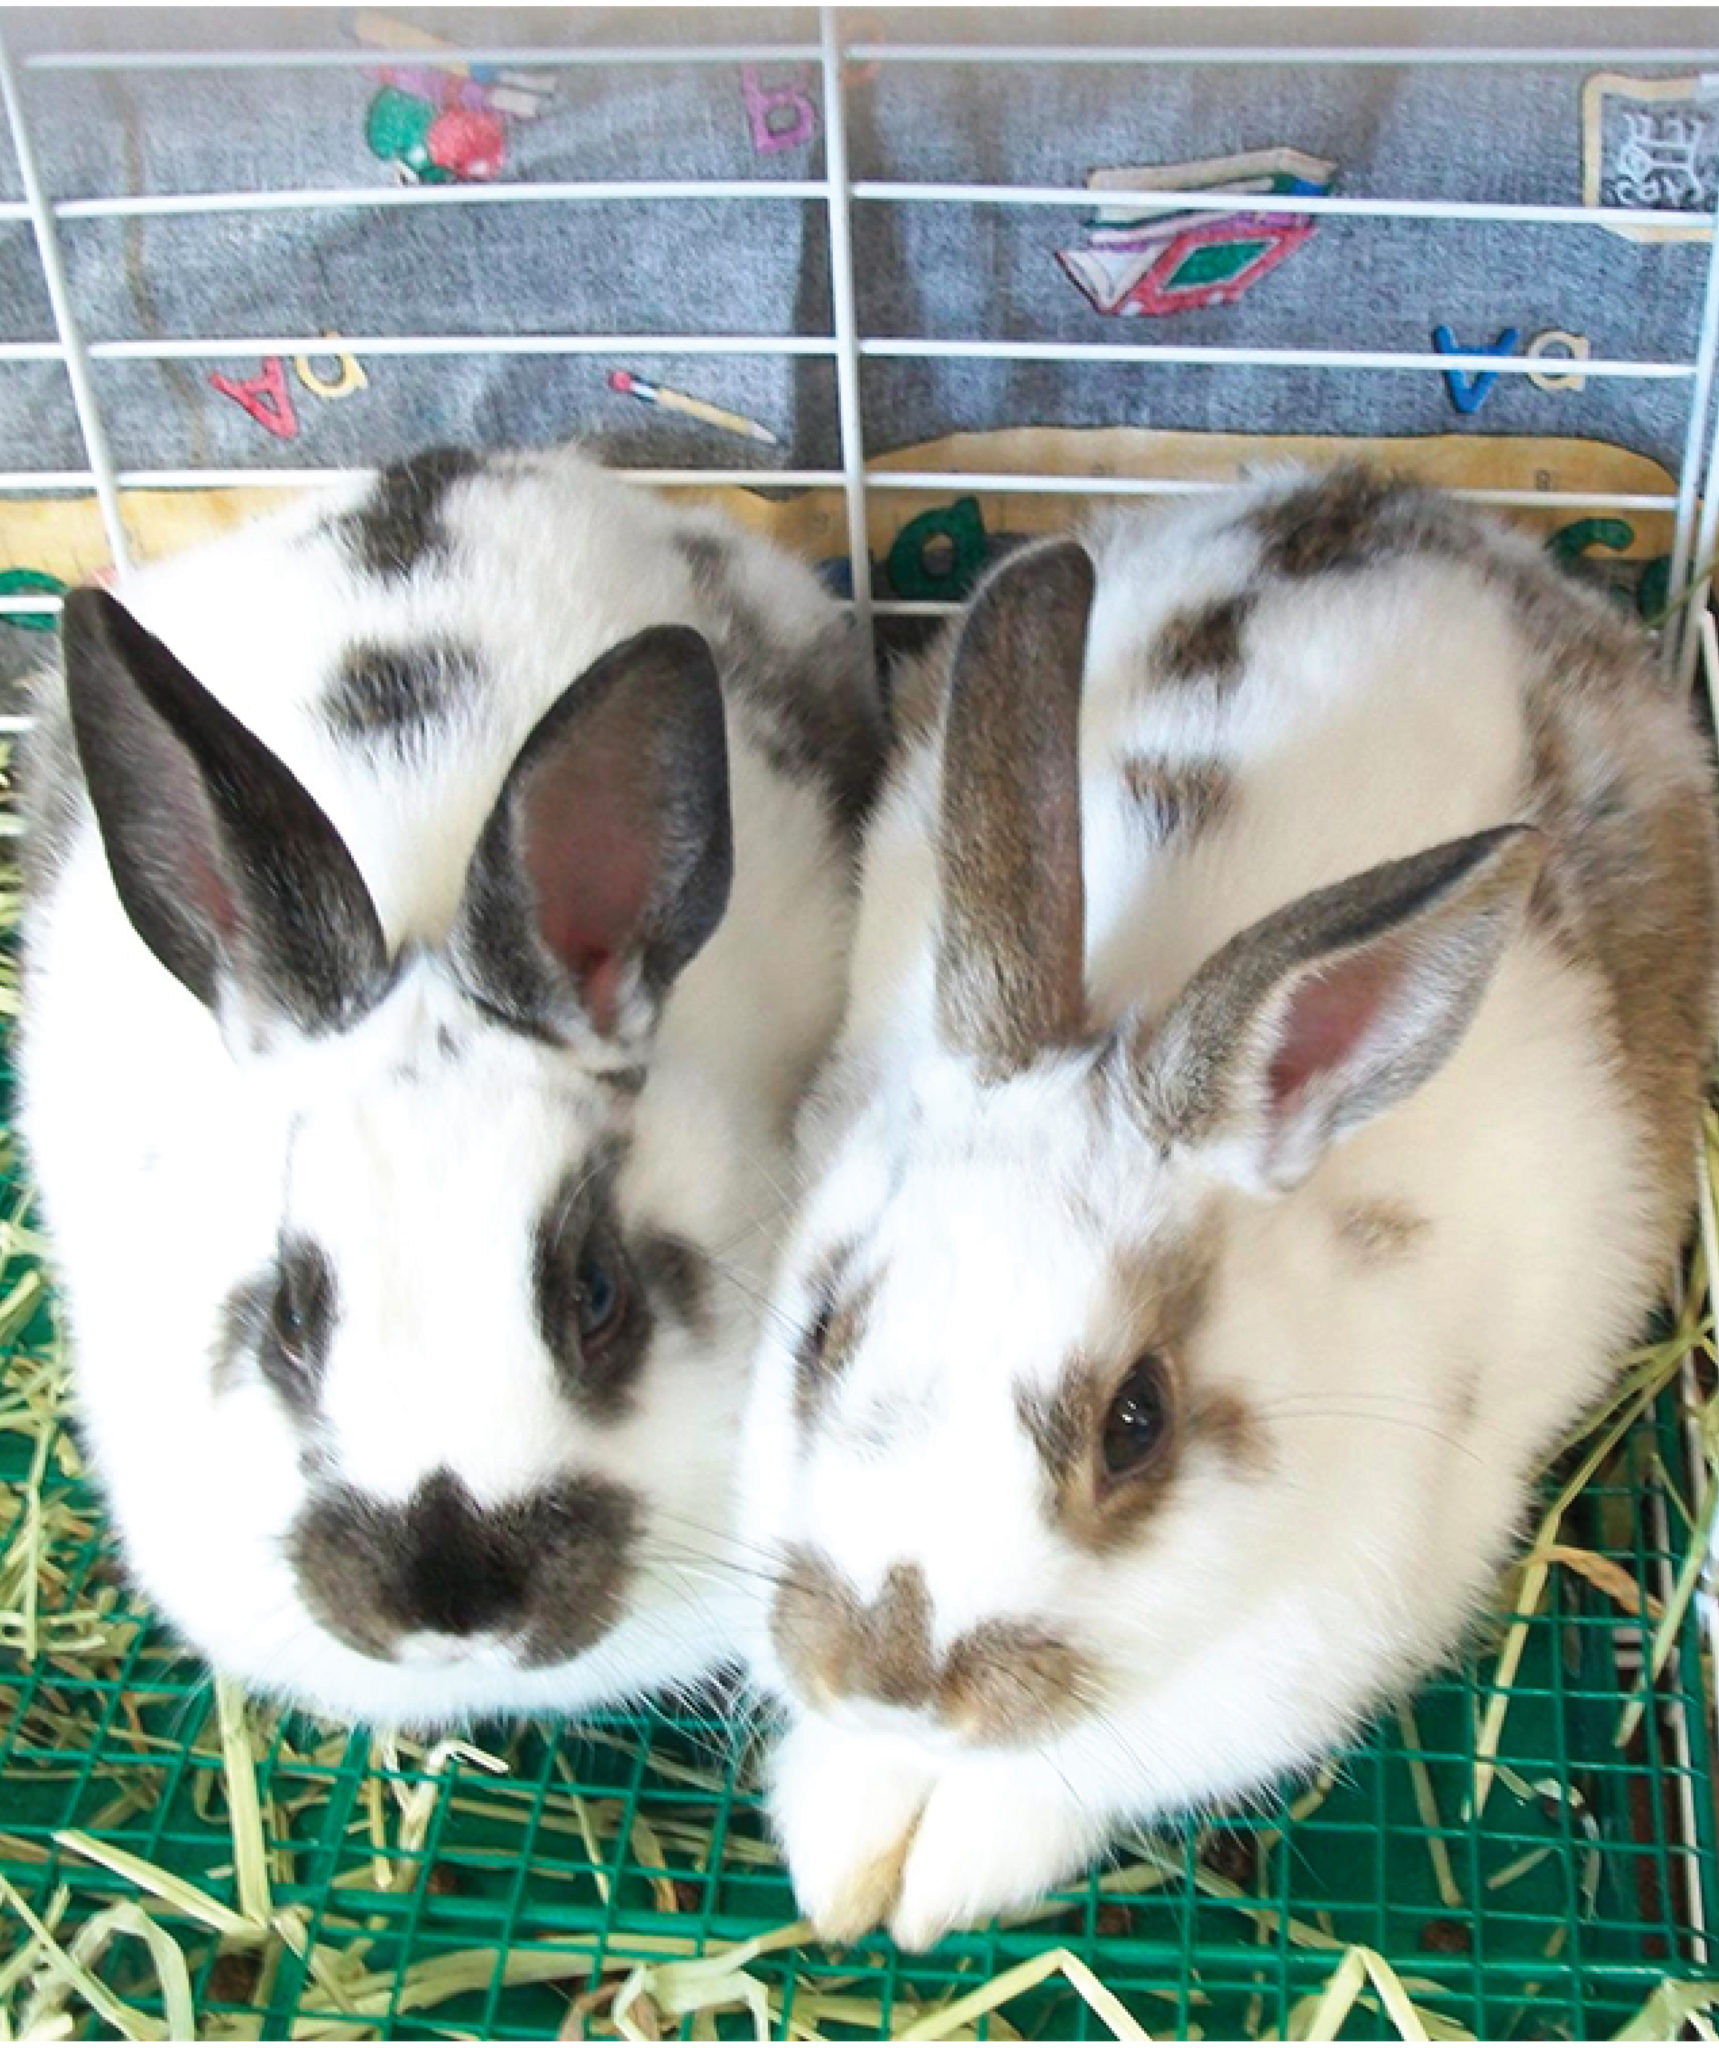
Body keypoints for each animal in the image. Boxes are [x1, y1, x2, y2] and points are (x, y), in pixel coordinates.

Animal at [738, 464, 1719, 1950]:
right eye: (819, 1335)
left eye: (1135, 1423)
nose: (893, 1676)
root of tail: (1427, 512)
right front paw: (843, 1836)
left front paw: (934, 1869)